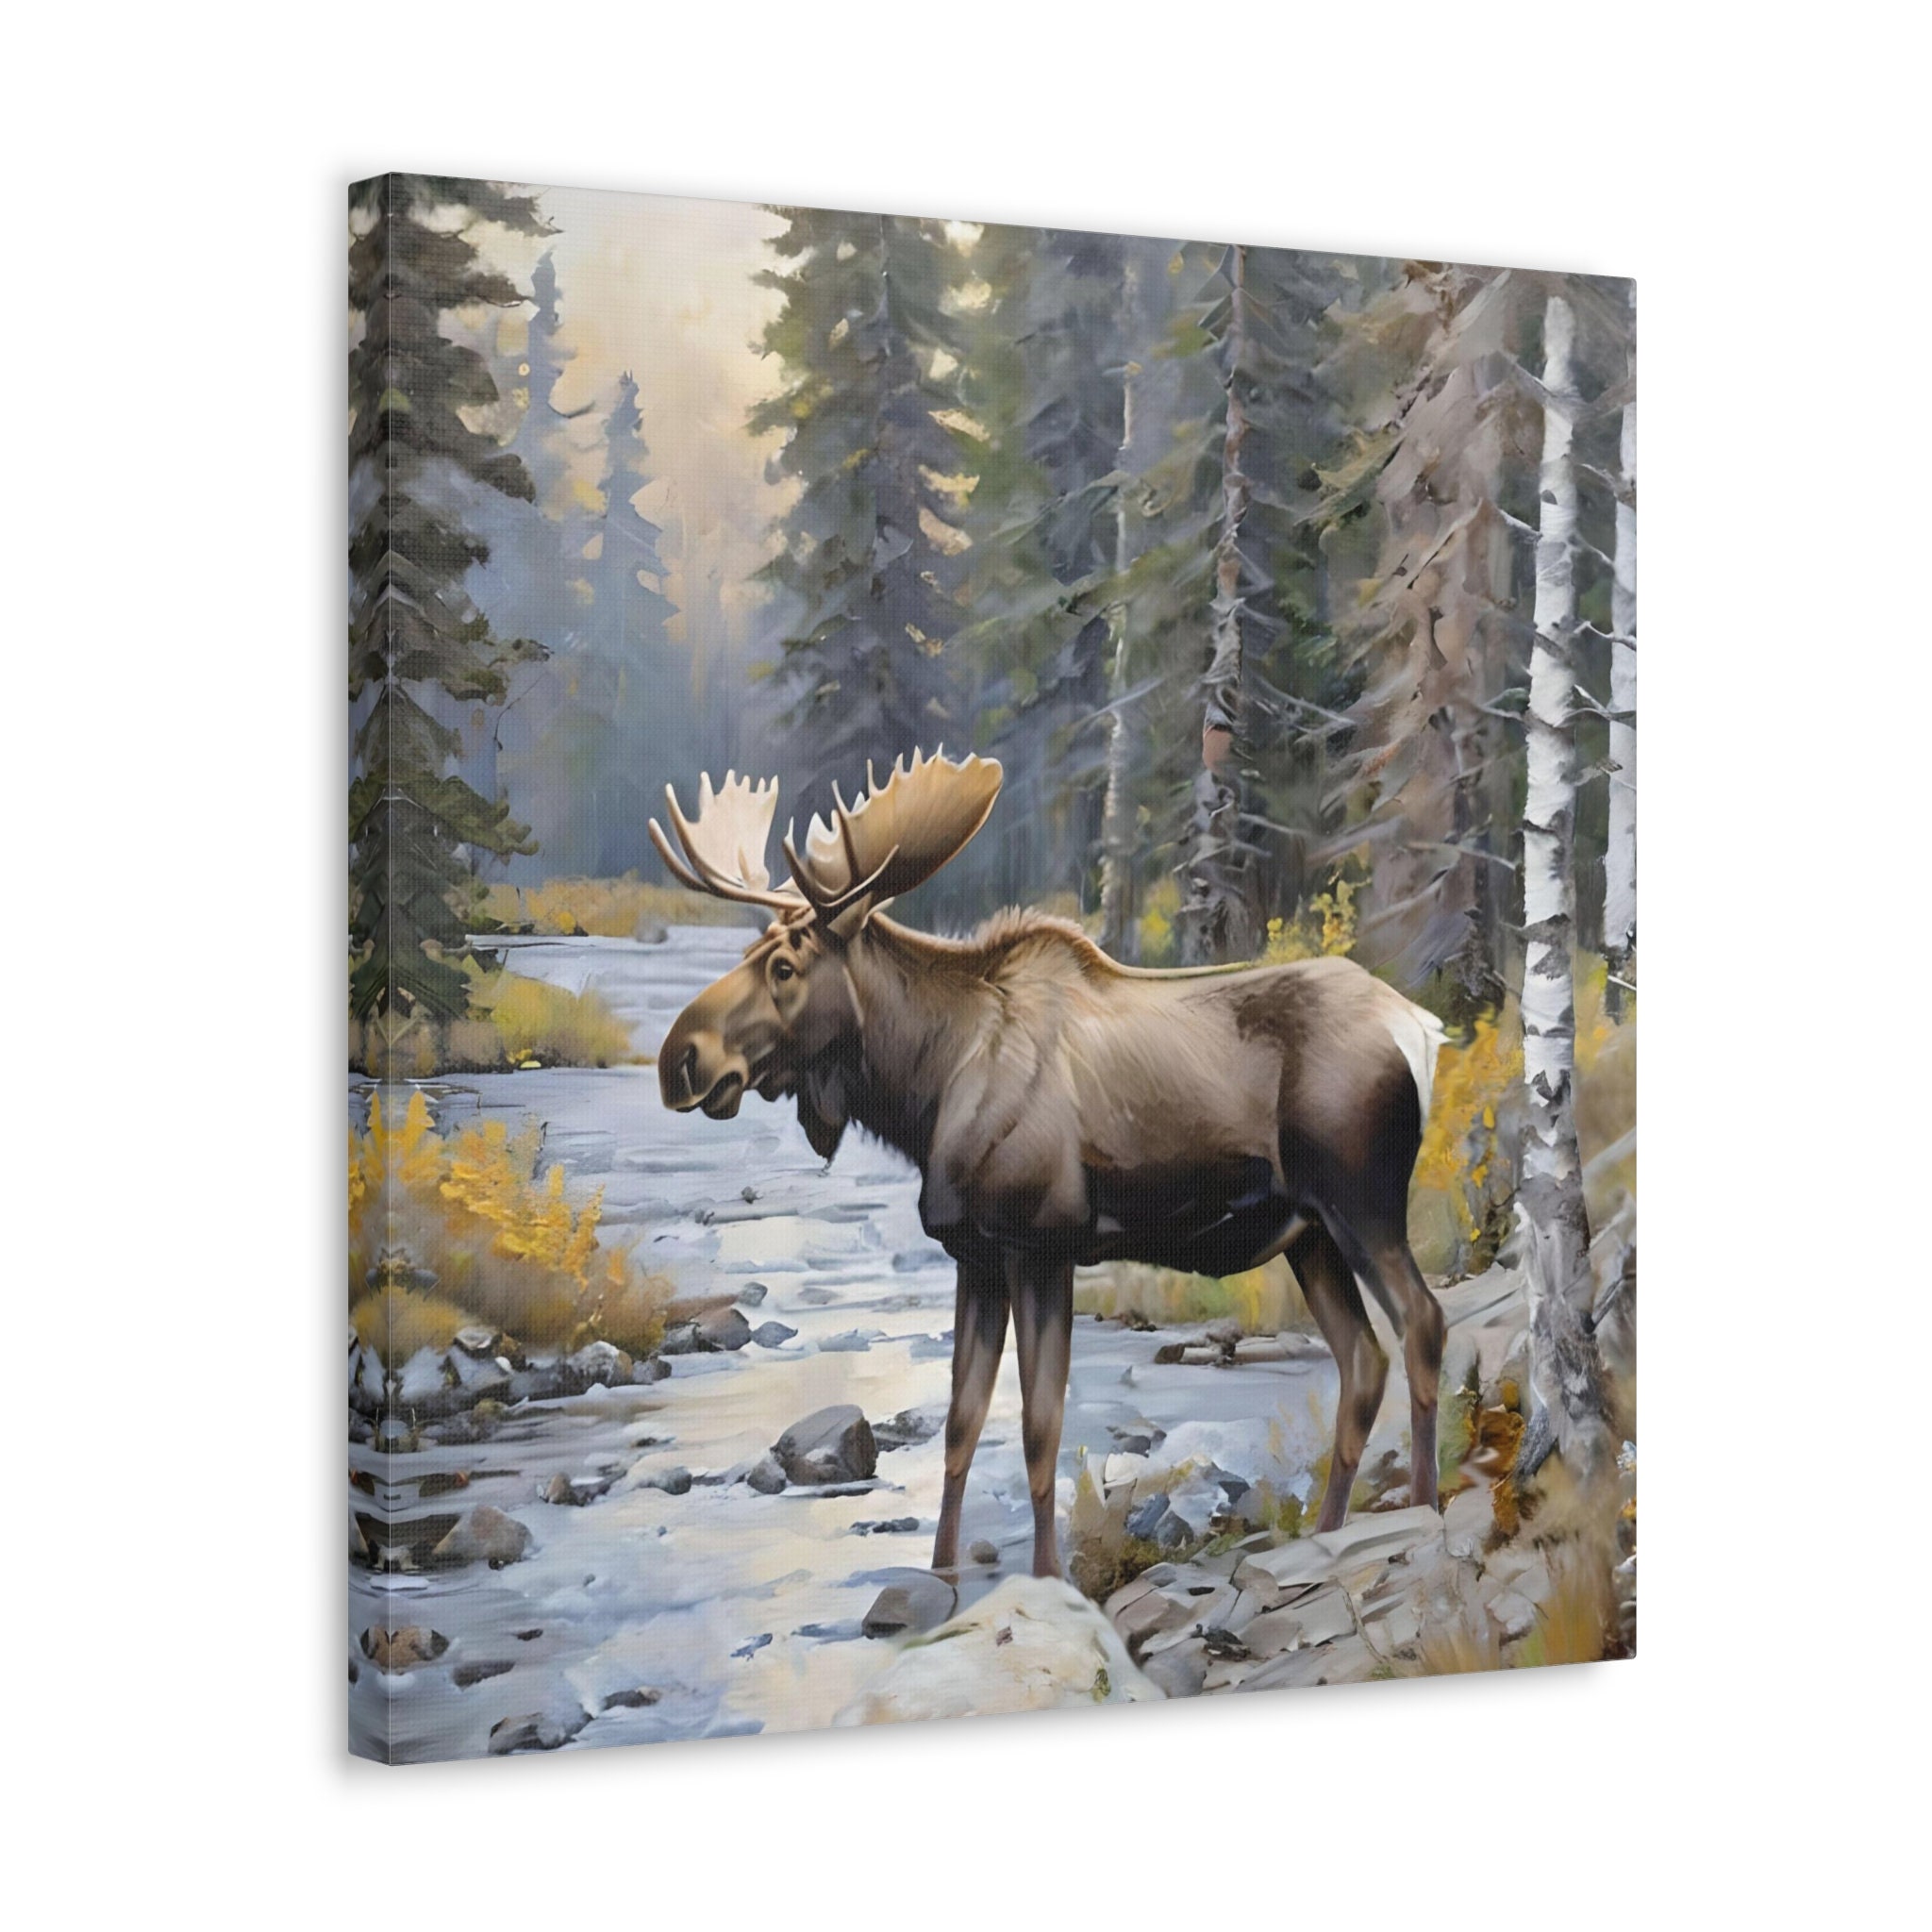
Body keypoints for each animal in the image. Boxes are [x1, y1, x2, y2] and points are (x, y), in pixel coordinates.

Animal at [652, 749, 1448, 1582]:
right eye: (746, 954)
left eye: (783, 966)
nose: (680, 1059)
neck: (929, 1090)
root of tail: (1423, 1030)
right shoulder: (975, 1254)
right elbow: (961, 1426)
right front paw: (942, 1570)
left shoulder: (1041, 1244)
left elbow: (1039, 1426)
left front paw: (1043, 1573)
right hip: (1308, 1233)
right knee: (1363, 1360)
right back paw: (1329, 1529)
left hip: (1361, 1202)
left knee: (1422, 1323)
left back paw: (1423, 1507)